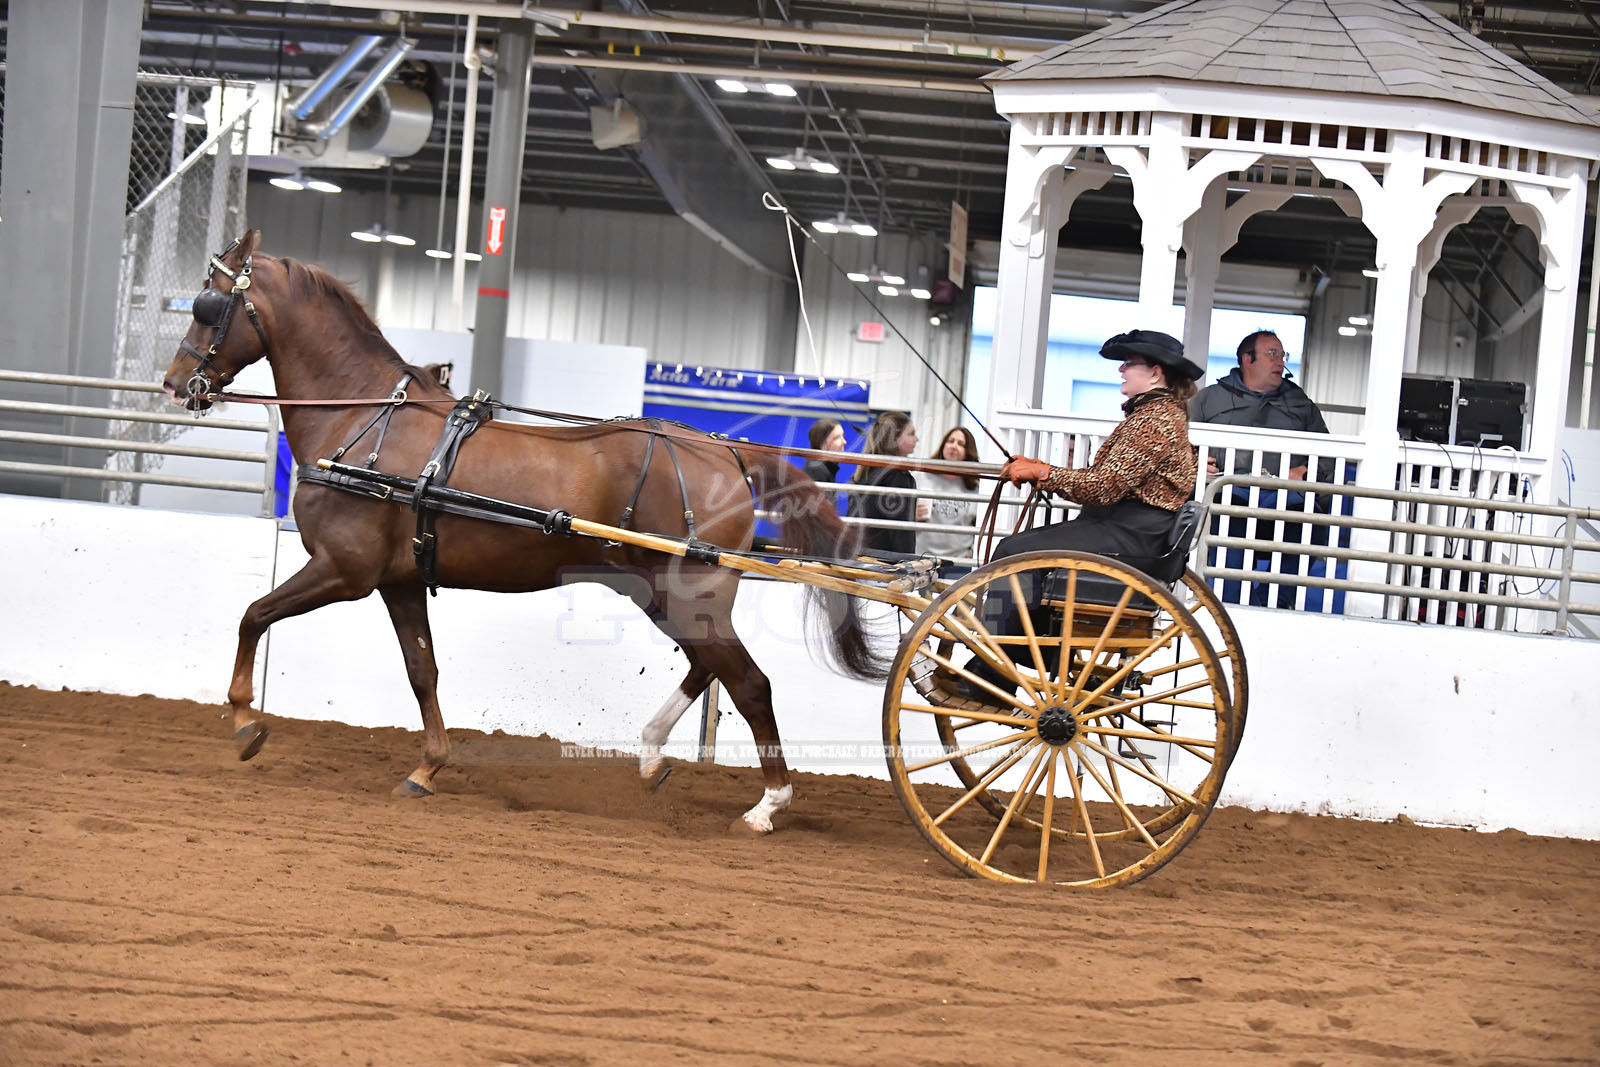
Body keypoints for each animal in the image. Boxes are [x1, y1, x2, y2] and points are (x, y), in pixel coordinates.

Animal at [161, 230, 885, 832]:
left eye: (207, 304)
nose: (174, 382)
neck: (363, 420)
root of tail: (727, 452)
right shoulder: (398, 581)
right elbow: (422, 670)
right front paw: (427, 768)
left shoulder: (343, 569)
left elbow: (254, 614)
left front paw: (245, 722)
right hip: (658, 592)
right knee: (710, 665)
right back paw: (652, 757)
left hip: (687, 592)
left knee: (750, 683)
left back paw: (768, 805)